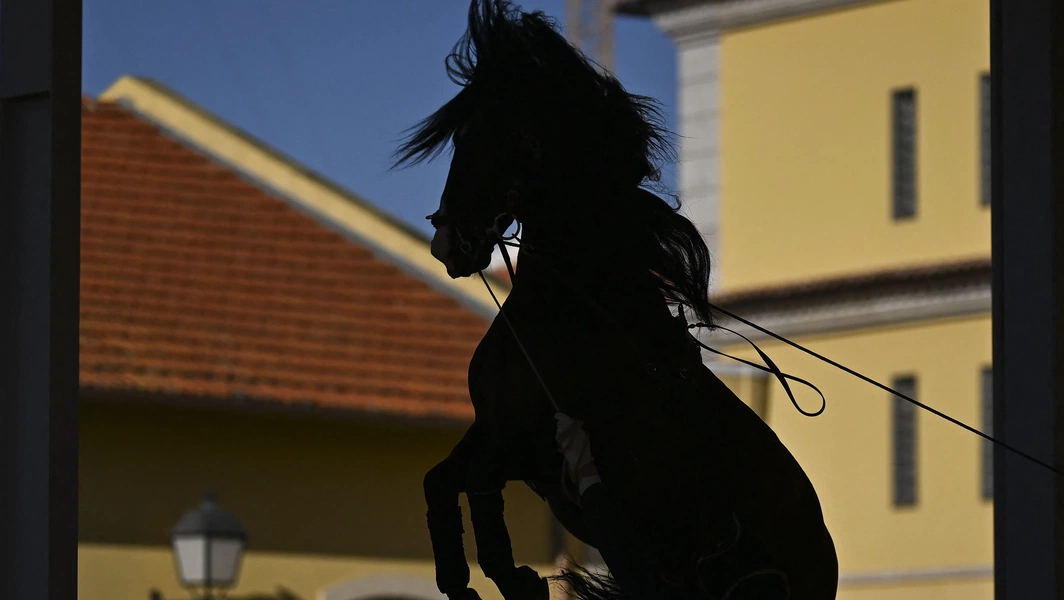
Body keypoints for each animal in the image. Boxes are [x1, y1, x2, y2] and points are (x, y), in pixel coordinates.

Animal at [393, 2, 838, 599]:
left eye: (510, 136)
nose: (449, 243)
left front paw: (517, 576)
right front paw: (464, 578)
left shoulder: (534, 447)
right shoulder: (492, 426)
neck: (574, 317)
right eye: (461, 136)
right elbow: (439, 480)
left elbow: (480, 480)